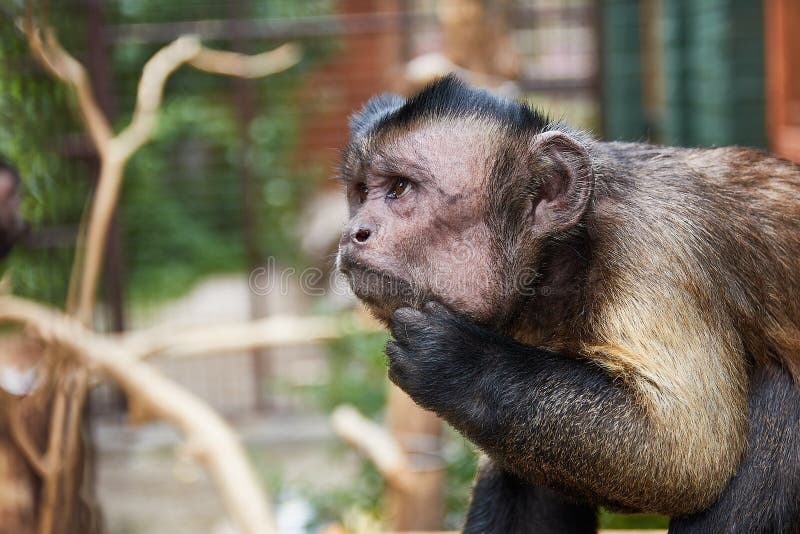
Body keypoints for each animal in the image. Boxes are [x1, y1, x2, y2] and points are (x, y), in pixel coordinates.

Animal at [336, 75, 800, 532]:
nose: (353, 231)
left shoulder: (655, 241)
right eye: (361, 192)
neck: (564, 251)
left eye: (399, 188)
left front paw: (457, 361)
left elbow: (689, 455)